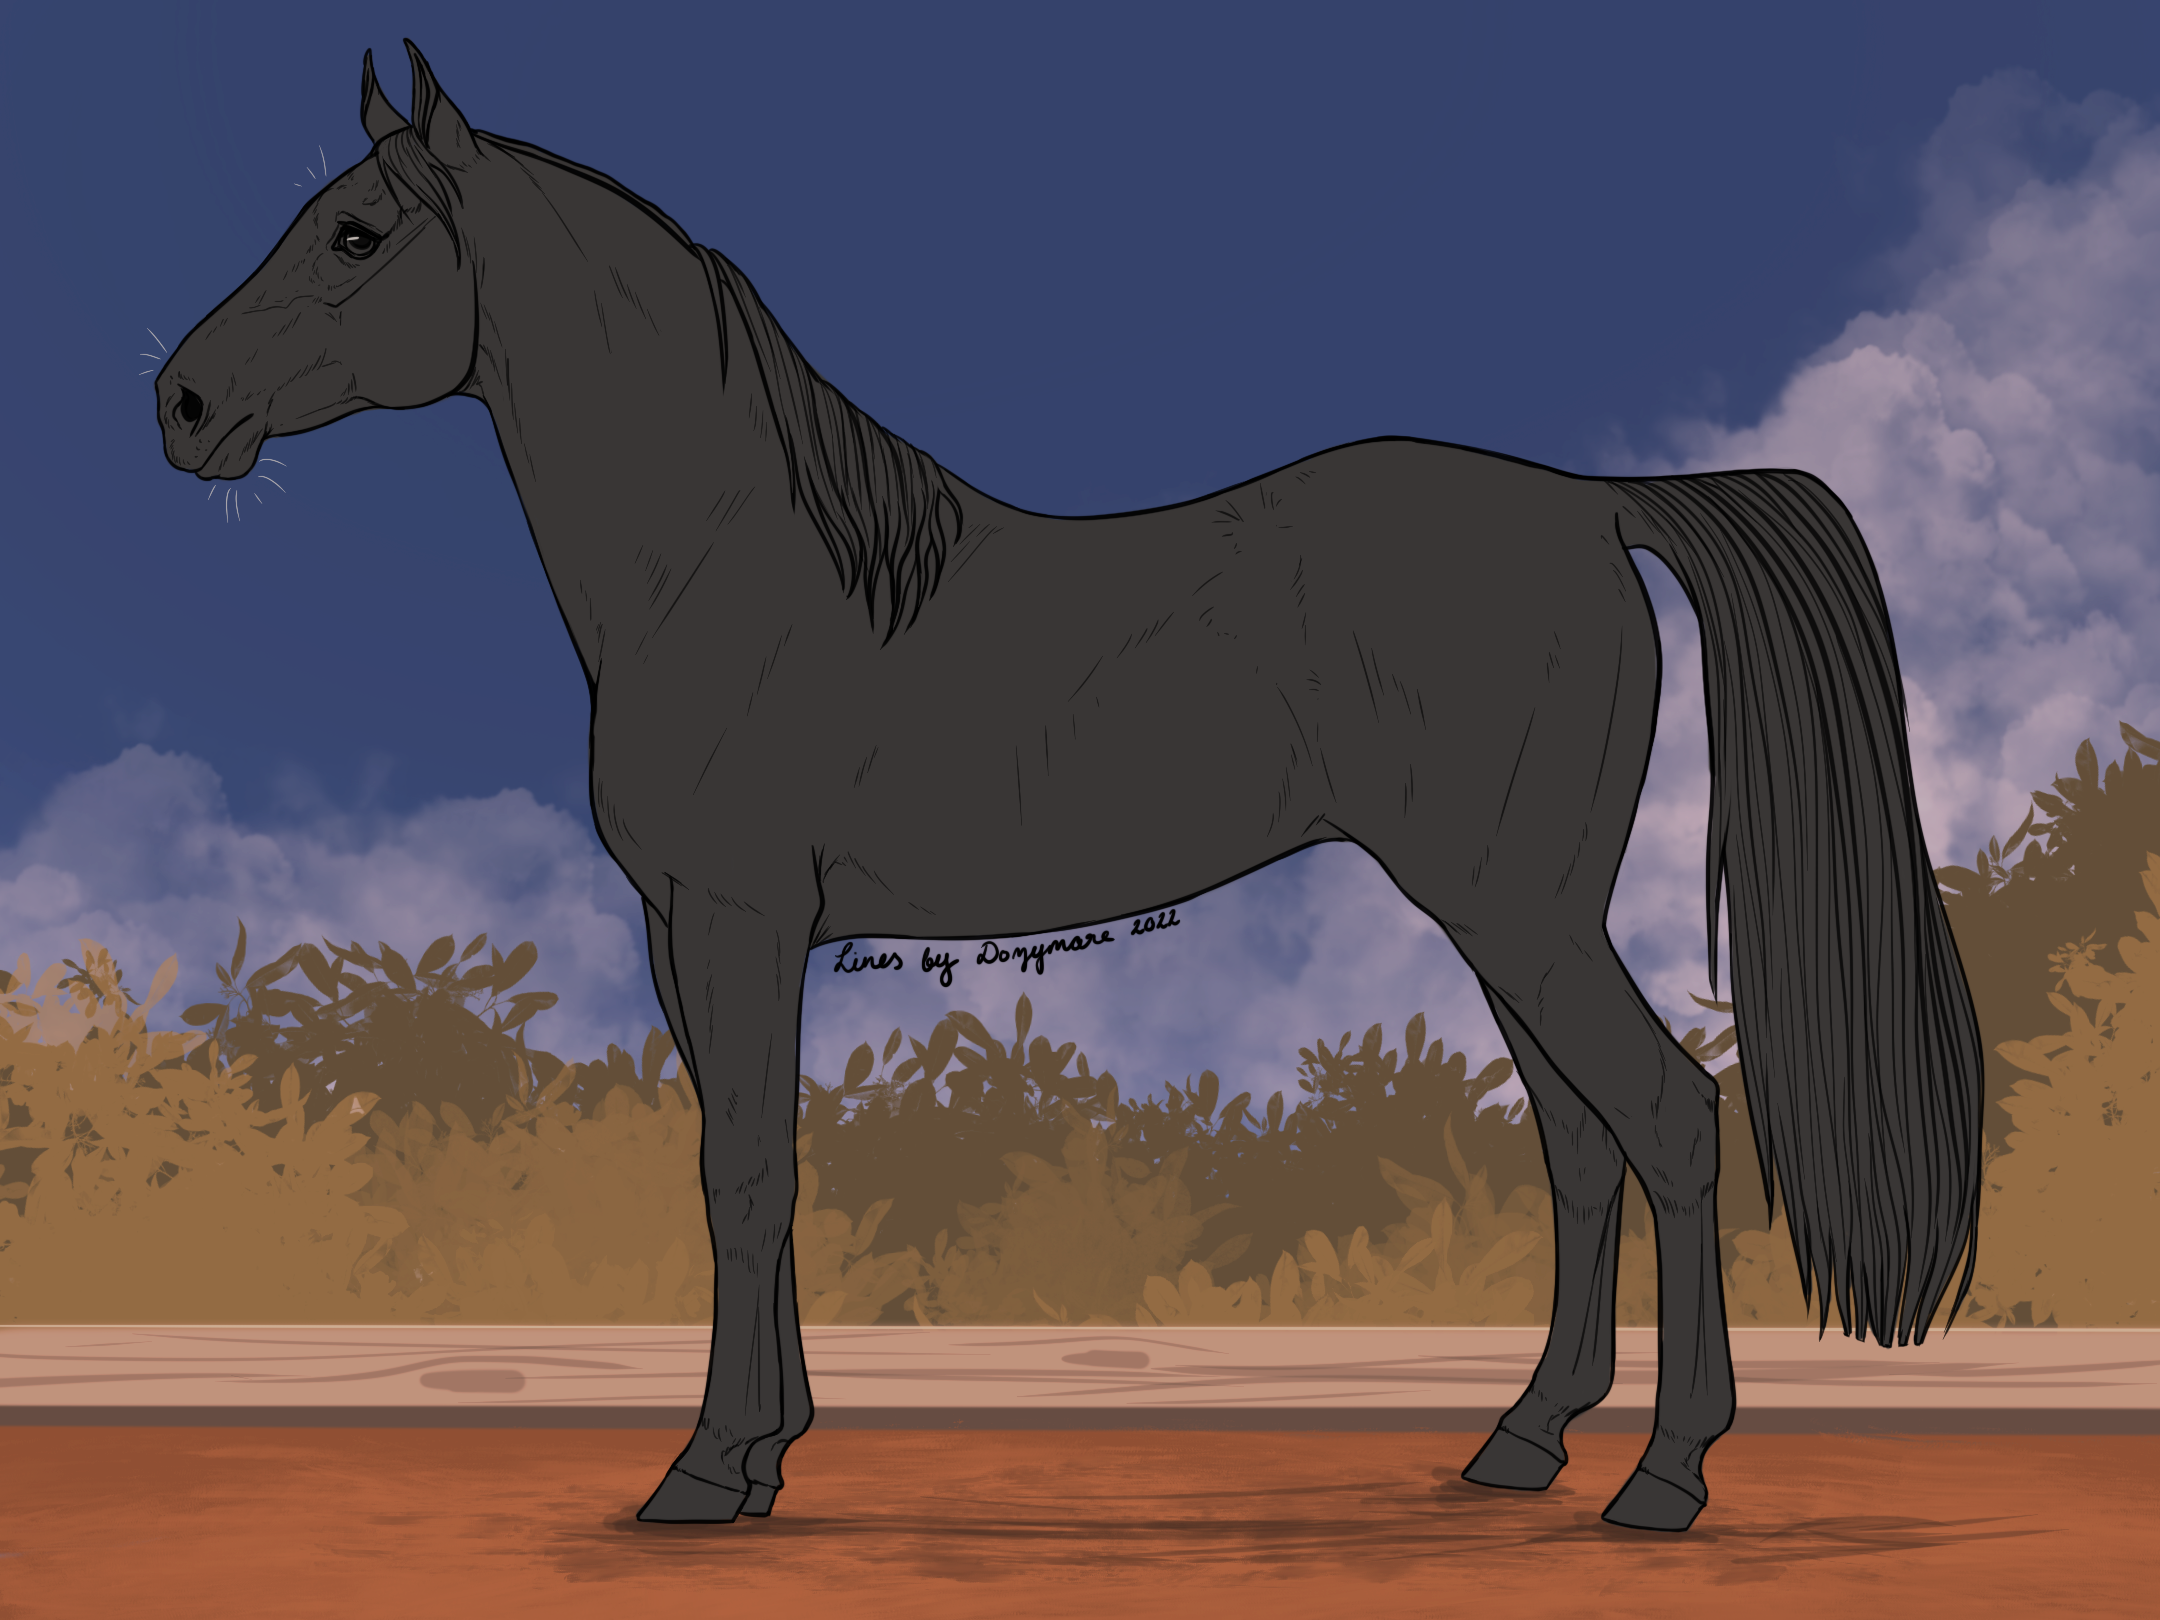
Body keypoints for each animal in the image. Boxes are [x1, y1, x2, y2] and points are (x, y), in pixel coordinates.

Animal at [156, 41, 1983, 1534]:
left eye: (355, 236)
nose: (178, 403)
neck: (732, 567)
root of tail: (1595, 506)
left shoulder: (739, 920)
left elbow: (742, 1176)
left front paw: (704, 1471)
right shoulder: (693, 933)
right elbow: (763, 1167)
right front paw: (769, 1452)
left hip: (1520, 909)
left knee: (1668, 1120)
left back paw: (1665, 1481)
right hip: (1508, 915)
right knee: (1582, 1147)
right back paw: (1523, 1446)